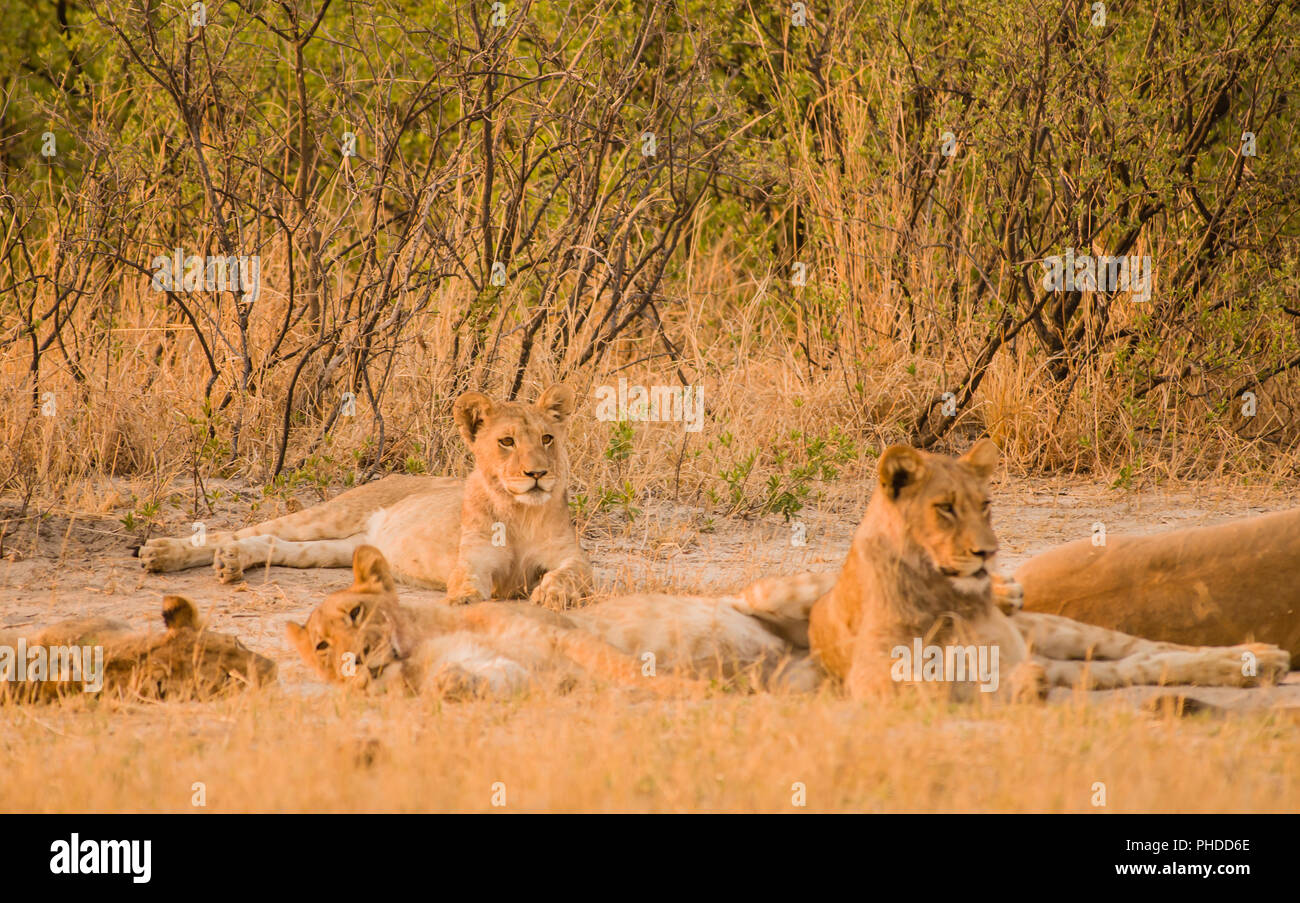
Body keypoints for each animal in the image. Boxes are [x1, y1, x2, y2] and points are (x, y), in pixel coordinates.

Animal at [138, 384, 593, 608]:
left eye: (547, 439)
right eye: (506, 442)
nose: (537, 474)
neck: (520, 512)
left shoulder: (571, 558)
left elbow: (571, 574)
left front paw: (553, 593)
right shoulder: (475, 556)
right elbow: (468, 577)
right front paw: (464, 597)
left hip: (343, 547)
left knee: (273, 542)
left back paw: (232, 561)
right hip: (334, 513)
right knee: (241, 531)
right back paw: (162, 552)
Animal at [286, 545, 833, 698]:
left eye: (356, 613)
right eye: (321, 647)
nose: (354, 662)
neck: (416, 646)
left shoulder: (562, 636)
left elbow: (628, 670)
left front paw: (700, 692)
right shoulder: (516, 671)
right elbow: (466, 680)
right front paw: (455, 685)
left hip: (773, 594)